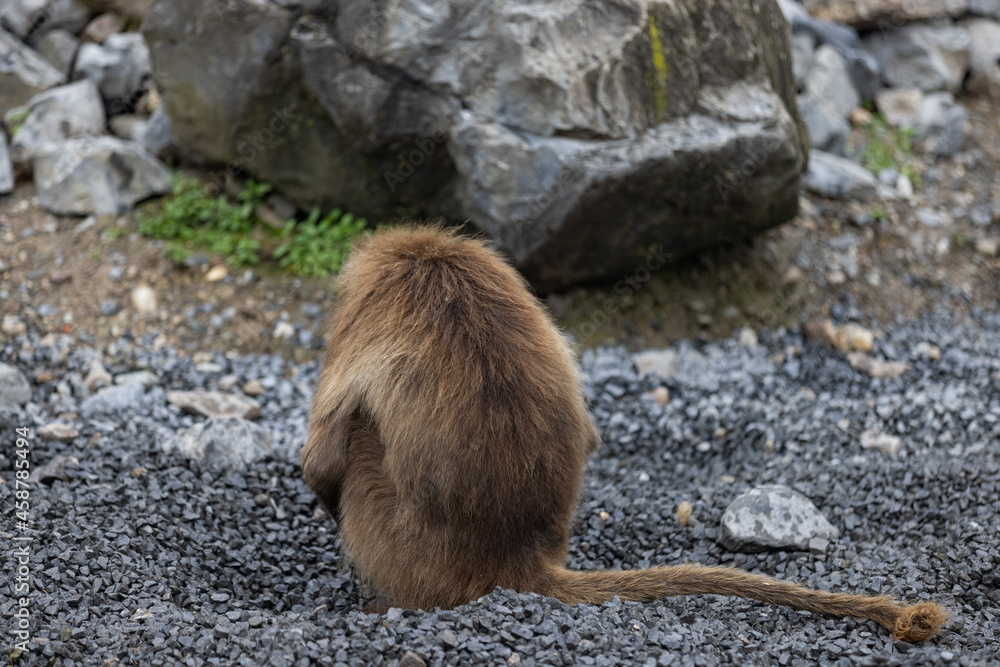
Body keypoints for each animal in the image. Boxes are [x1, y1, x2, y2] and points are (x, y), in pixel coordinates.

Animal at [301, 225, 948, 642]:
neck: (430, 262)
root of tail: (515, 555)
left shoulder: (361, 320)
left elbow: (322, 457)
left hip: (392, 537)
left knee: (357, 440)